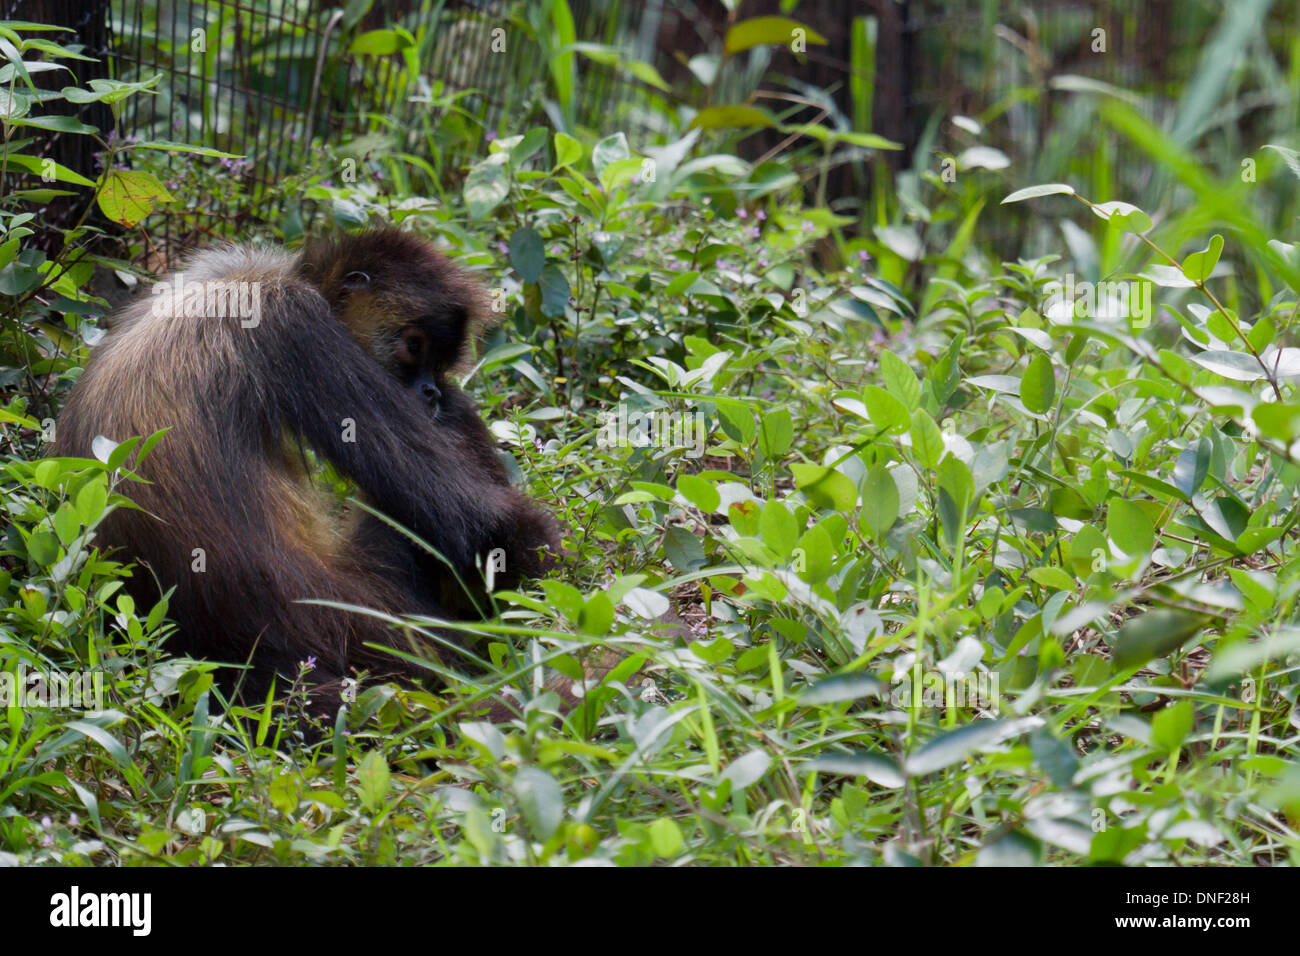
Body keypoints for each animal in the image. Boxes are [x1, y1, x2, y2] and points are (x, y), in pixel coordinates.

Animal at [50, 228, 561, 714]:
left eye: (440, 361)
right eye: (414, 347)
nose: (431, 391)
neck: (257, 281)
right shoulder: (296, 320)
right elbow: (477, 524)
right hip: (367, 621)